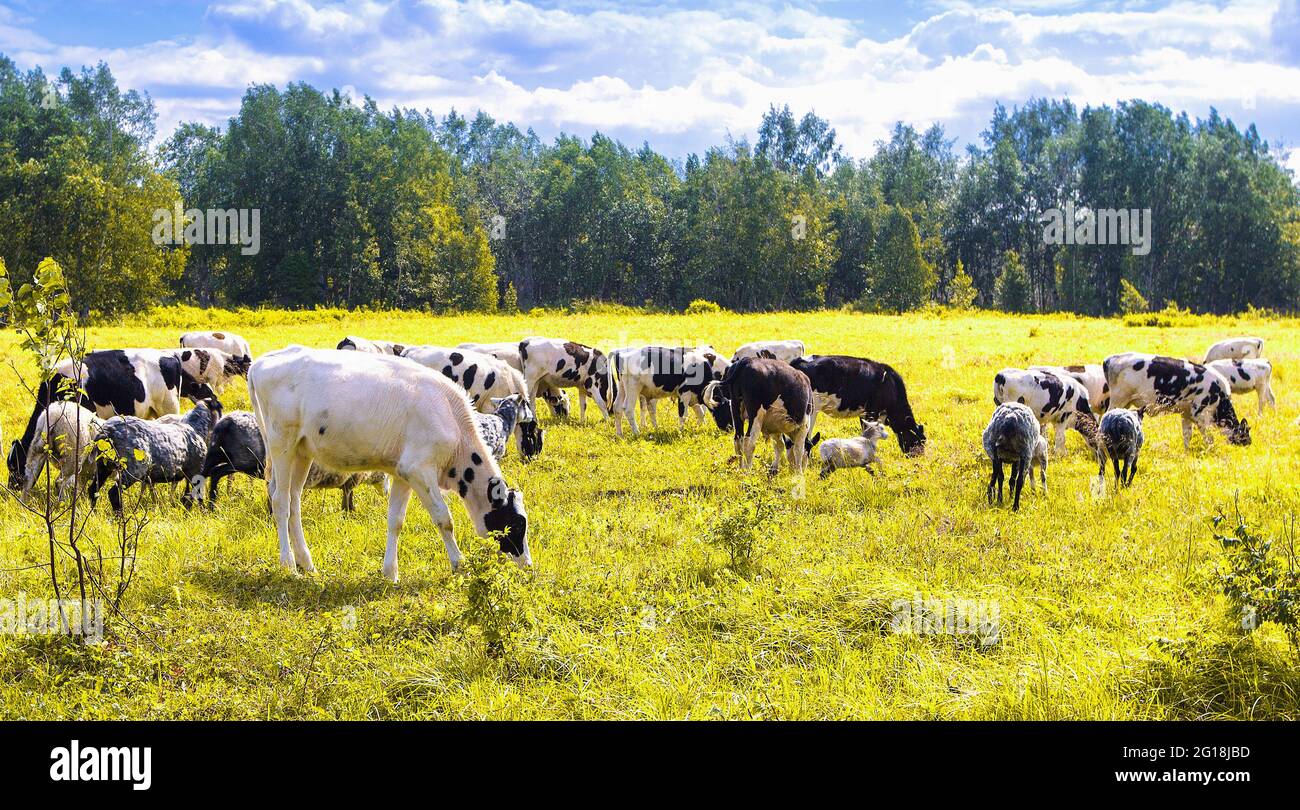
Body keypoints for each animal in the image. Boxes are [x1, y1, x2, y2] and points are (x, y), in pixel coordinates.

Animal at [248, 346, 529, 581]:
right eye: (517, 523)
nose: (528, 564)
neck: (450, 417)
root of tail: (264, 360)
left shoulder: (403, 473)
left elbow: (396, 520)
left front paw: (390, 573)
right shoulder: (419, 470)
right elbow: (444, 519)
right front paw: (459, 565)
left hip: (302, 451)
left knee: (293, 499)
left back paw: (306, 562)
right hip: (282, 443)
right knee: (280, 500)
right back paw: (288, 565)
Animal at [790, 355, 928, 456]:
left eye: (923, 441)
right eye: (919, 440)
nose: (918, 459)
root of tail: (798, 361)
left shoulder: (864, 413)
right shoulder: (872, 412)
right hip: (811, 410)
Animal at [1103, 352, 1251, 448]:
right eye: (1245, 431)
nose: (1249, 442)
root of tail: (1110, 359)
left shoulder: (1186, 414)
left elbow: (1187, 435)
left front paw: (1187, 453)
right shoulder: (1201, 415)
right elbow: (1209, 438)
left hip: (1125, 403)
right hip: (1118, 400)